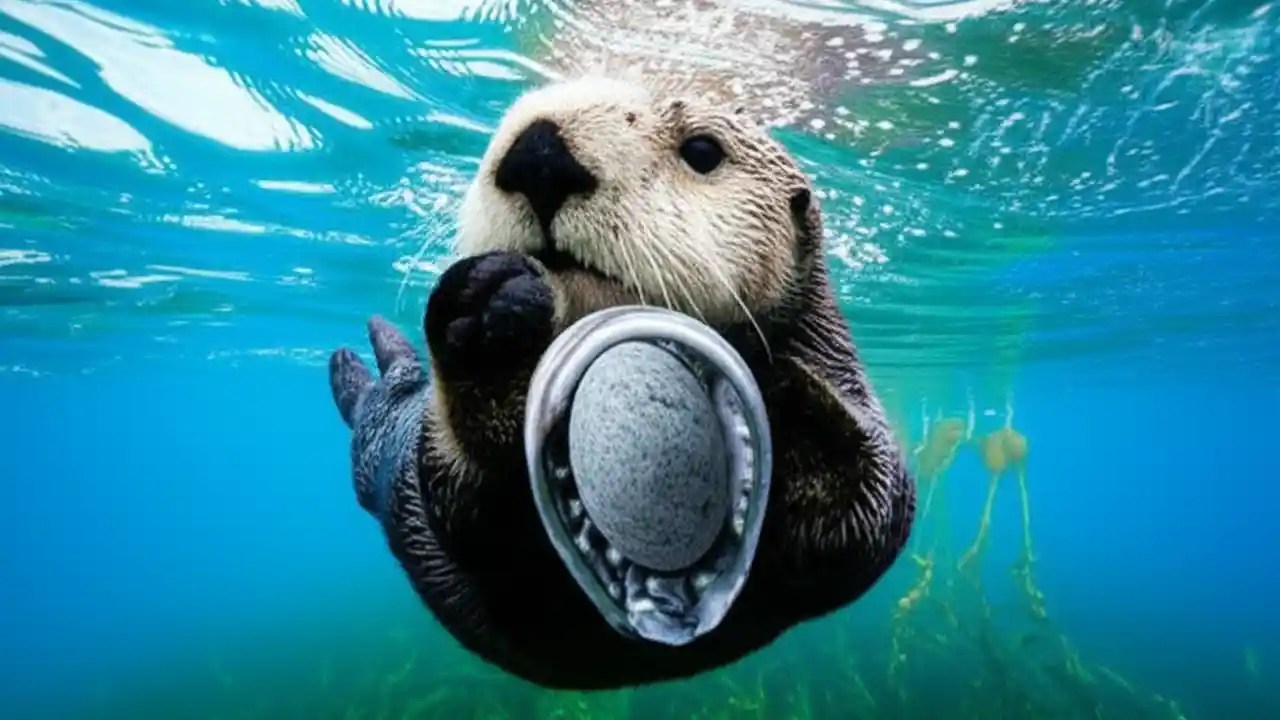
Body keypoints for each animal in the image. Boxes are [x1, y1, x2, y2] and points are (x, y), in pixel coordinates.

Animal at [328, 74, 915, 690]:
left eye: (702, 150)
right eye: (507, 122)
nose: (538, 154)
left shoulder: (846, 394)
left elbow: (865, 513)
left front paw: (761, 378)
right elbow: (471, 511)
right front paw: (488, 309)